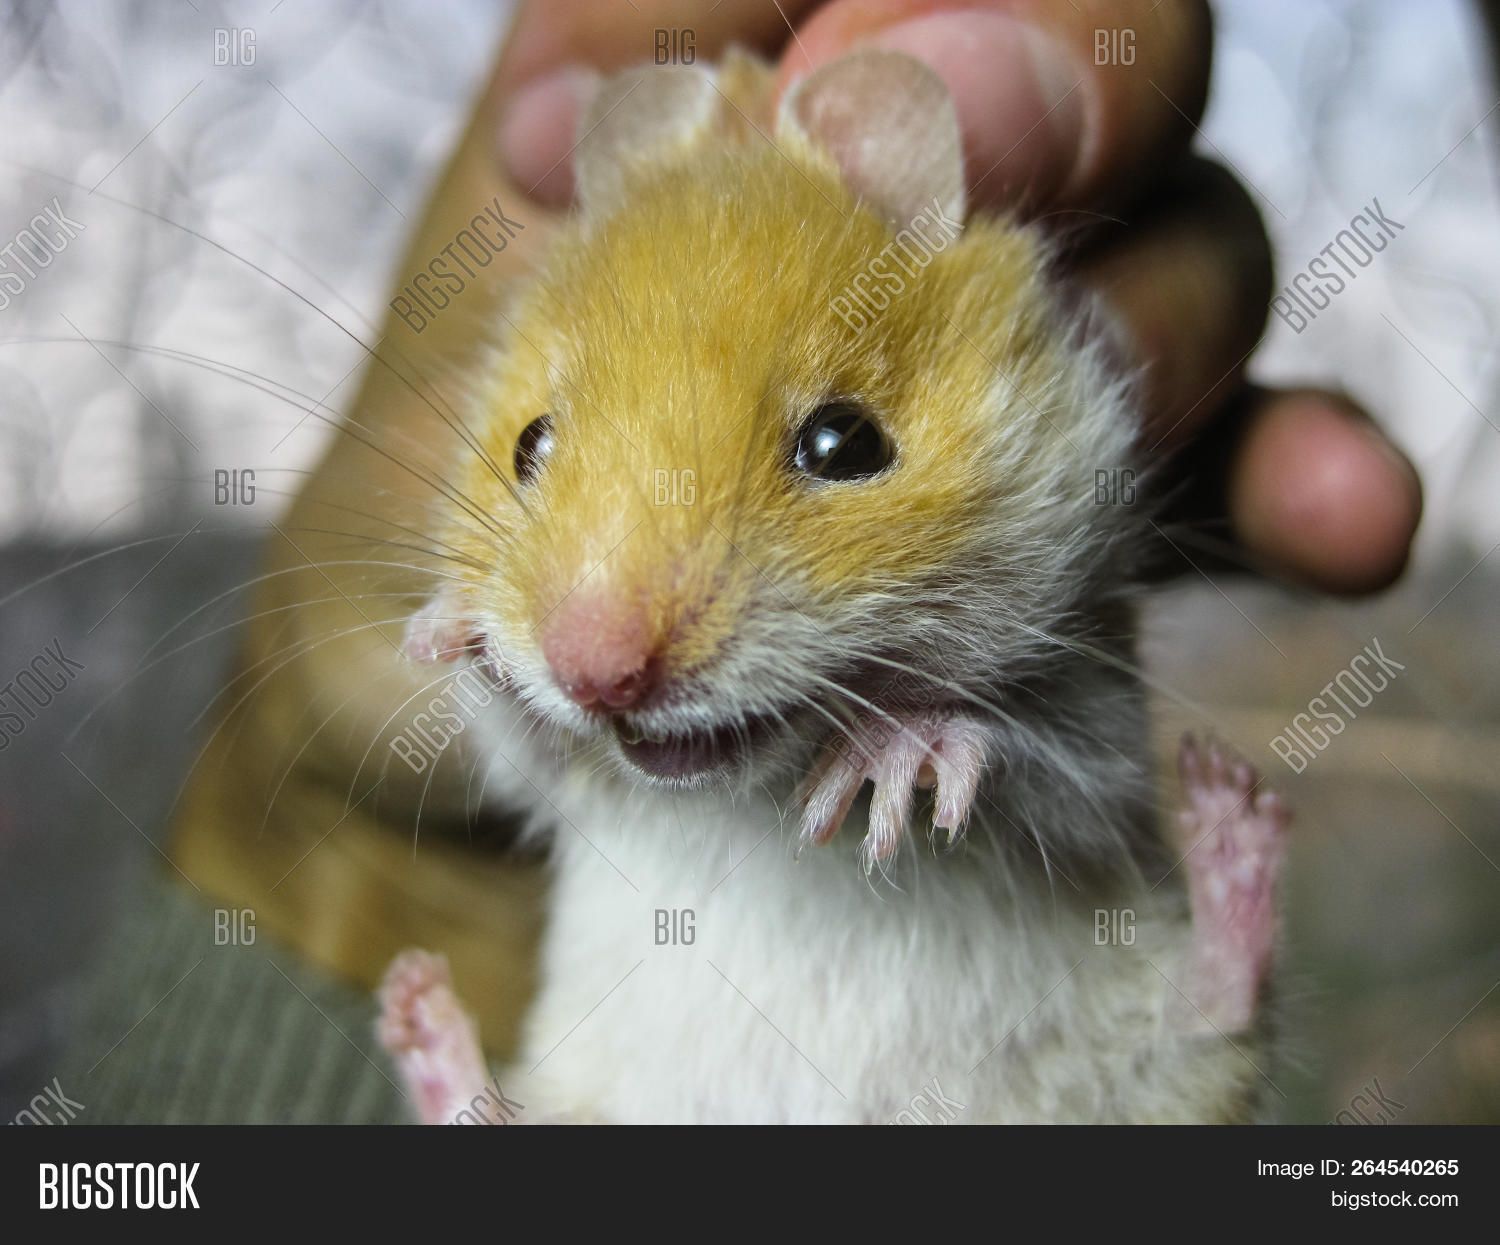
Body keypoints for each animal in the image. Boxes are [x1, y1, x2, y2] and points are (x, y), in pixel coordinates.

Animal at [375, 48, 1288, 1124]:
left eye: (844, 444)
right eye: (528, 444)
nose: (596, 672)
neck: (748, 796)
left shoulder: (1097, 705)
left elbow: (1021, 751)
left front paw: (884, 761)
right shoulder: (565, 784)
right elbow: (525, 742)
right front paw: (449, 629)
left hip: (1150, 1053)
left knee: (1220, 1014)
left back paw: (1232, 816)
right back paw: (422, 1016)